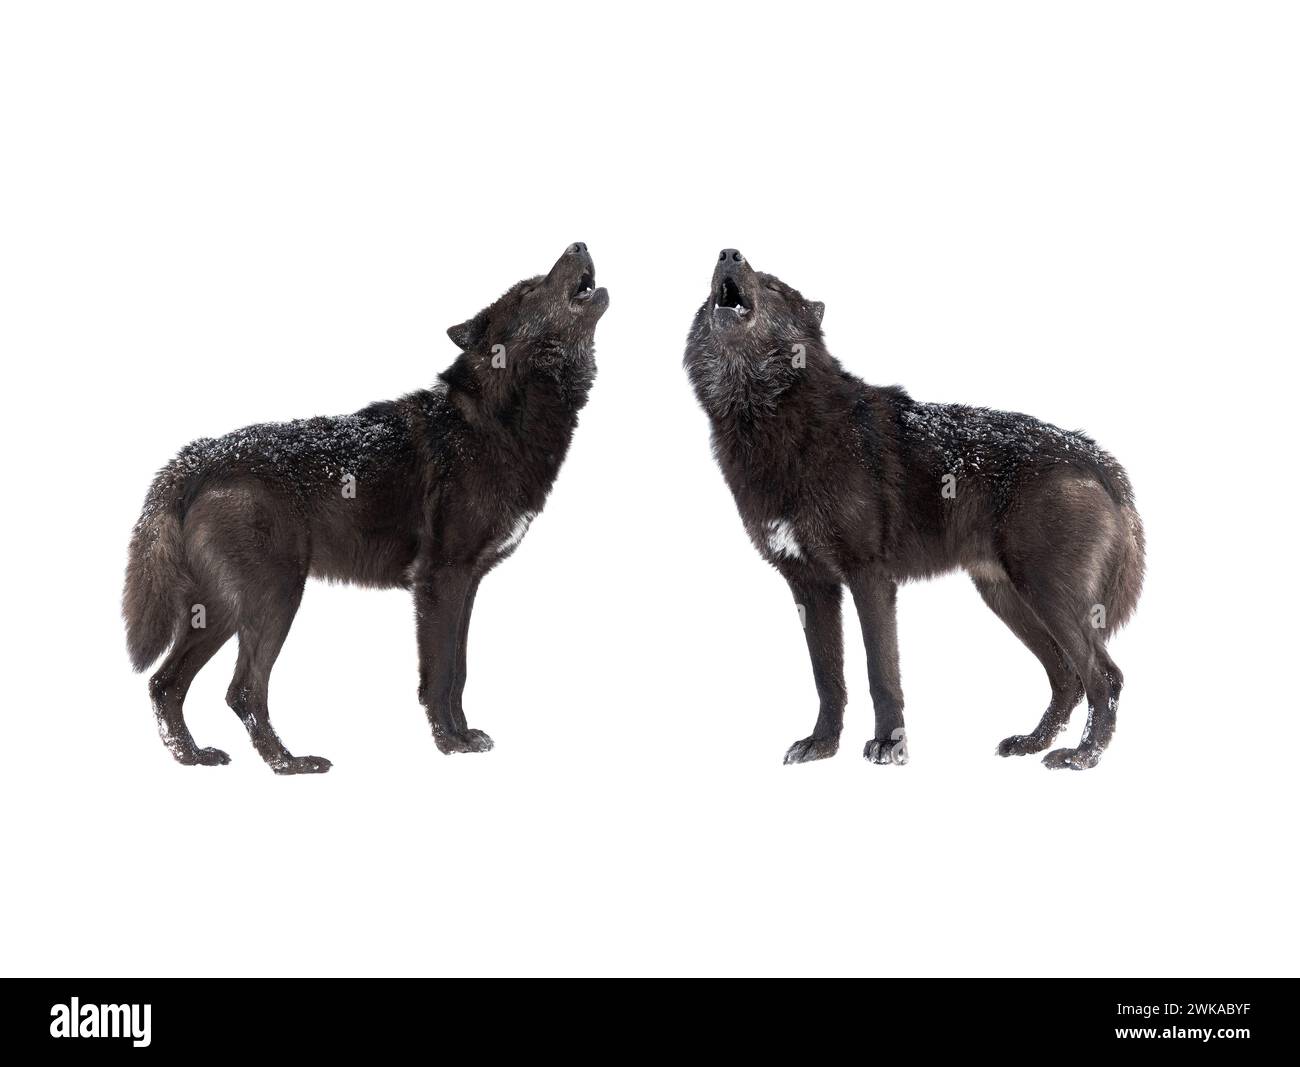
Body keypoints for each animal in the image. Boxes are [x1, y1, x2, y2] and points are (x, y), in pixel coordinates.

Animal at [124, 243, 608, 772]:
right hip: (274, 599)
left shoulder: (469, 583)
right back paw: (290, 764)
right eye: (529, 289)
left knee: (166, 683)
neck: (496, 420)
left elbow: (459, 670)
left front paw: (463, 734)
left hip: (222, 611)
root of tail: (201, 455)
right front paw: (449, 743)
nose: (579, 244)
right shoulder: (441, 580)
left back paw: (193, 756)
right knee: (243, 691)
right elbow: (441, 674)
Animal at [684, 250, 1144, 770]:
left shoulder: (869, 577)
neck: (772, 415)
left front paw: (889, 746)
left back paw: (1081, 756)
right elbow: (827, 678)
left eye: (774, 287)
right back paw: (1032, 743)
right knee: (1066, 676)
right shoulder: (810, 585)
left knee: (1104, 676)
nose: (729, 253)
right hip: (1009, 600)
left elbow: (880, 674)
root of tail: (1095, 457)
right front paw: (821, 746)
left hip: (1048, 596)